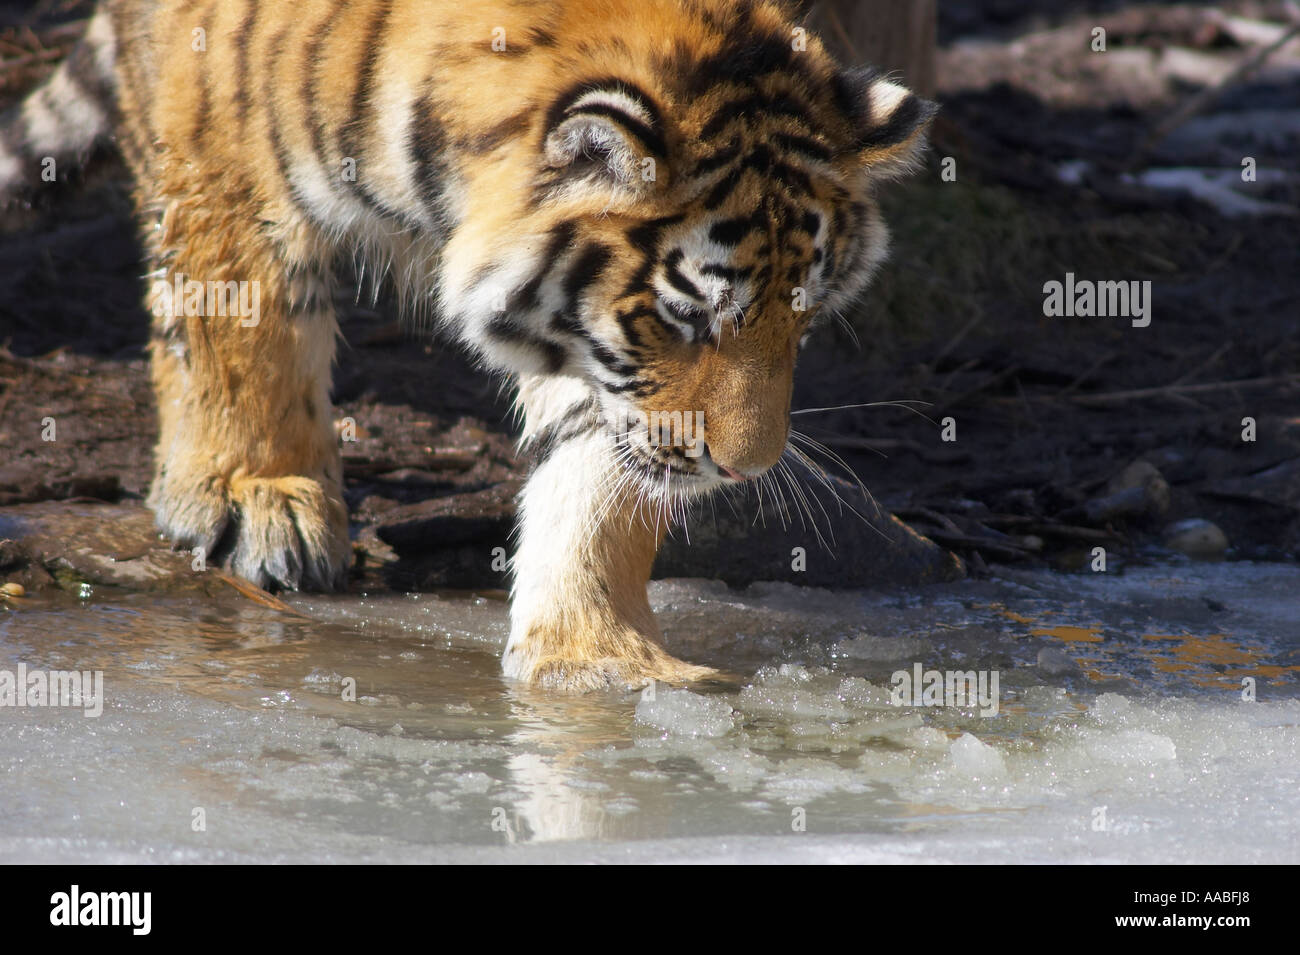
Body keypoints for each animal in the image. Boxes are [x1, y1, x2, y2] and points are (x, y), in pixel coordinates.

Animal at [0, 0, 935, 691]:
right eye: (689, 317)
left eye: (805, 315)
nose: (745, 470)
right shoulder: (223, 156)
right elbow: (241, 326)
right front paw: (256, 495)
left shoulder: (594, 353)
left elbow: (595, 468)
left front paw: (597, 654)